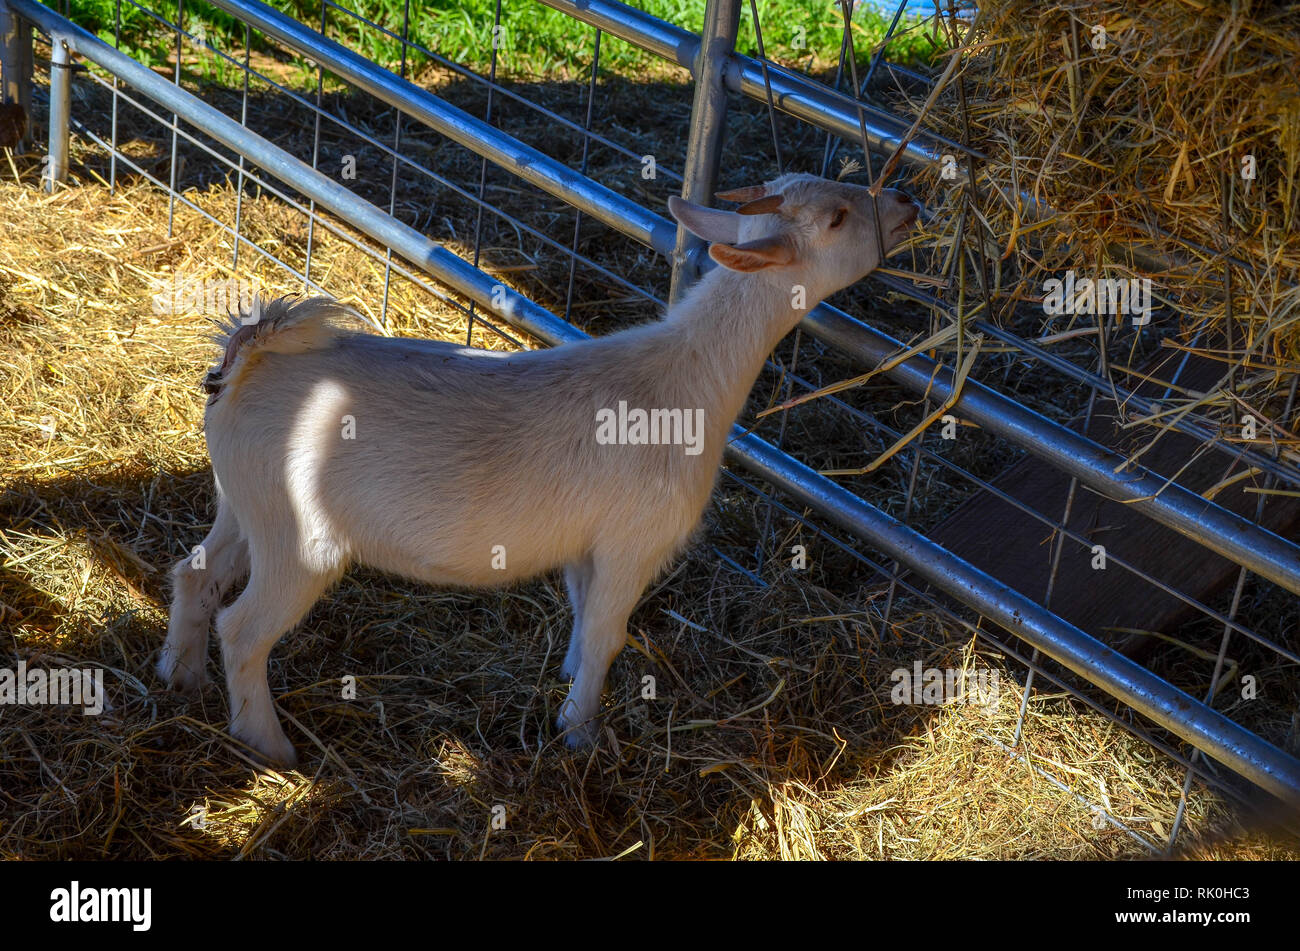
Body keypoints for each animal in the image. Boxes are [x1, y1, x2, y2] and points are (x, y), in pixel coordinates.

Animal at [159, 172, 919, 766]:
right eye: (837, 217)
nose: (908, 202)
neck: (686, 381)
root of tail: (248, 361)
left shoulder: (587, 545)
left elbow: (584, 623)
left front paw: (569, 685)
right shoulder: (632, 543)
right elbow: (610, 634)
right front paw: (580, 733)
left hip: (243, 502)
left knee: (195, 573)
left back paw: (180, 676)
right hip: (298, 537)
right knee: (243, 628)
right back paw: (269, 744)